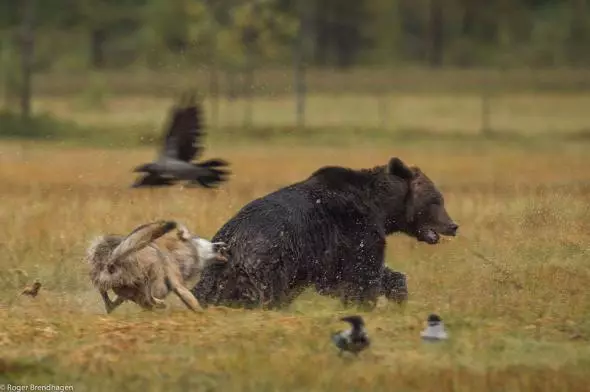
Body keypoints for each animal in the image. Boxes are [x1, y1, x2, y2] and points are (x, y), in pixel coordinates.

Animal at [85, 219, 229, 314]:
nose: (225, 243)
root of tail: (111, 259)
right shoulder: (178, 285)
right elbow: (195, 304)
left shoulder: (128, 293)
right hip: (152, 267)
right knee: (149, 298)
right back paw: (160, 304)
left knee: (107, 300)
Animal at [192, 156, 460, 310]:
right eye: (436, 200)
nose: (453, 225)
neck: (382, 209)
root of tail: (230, 241)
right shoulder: (355, 230)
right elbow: (362, 273)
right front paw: (366, 303)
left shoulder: (330, 253)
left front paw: (399, 292)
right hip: (268, 259)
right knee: (267, 292)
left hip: (226, 272)